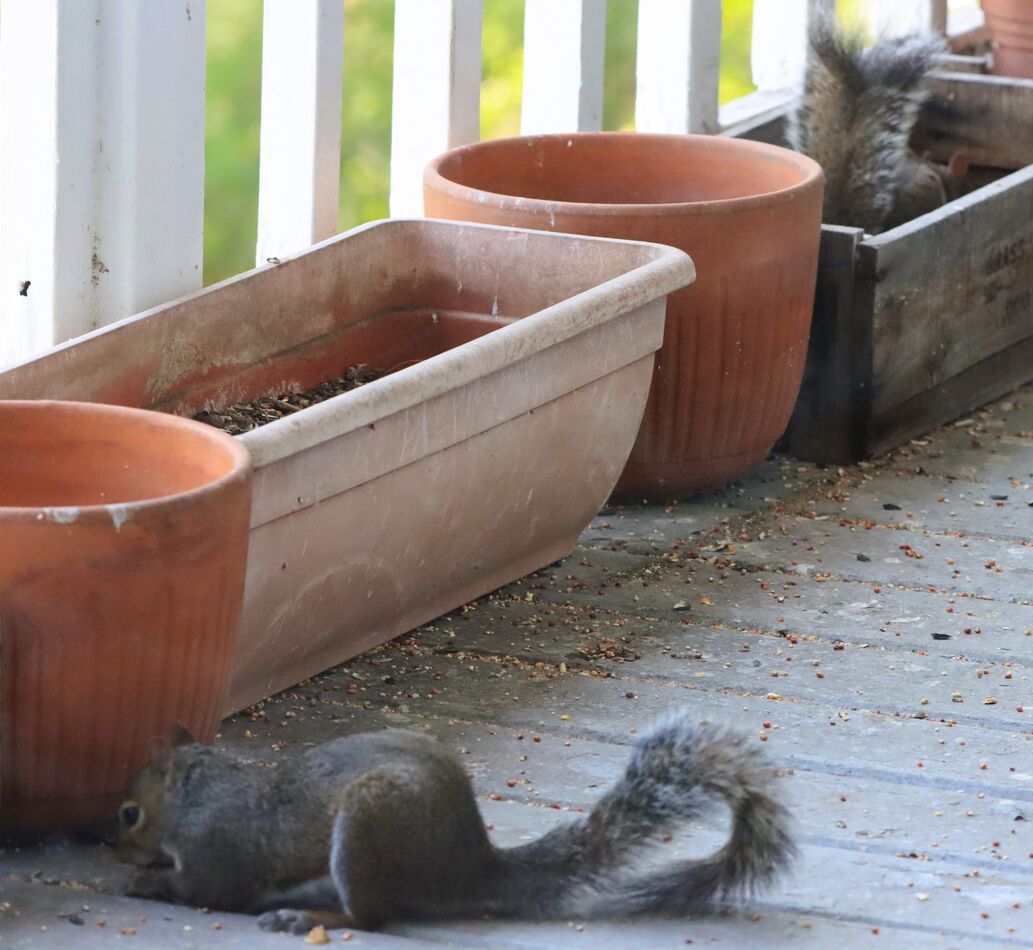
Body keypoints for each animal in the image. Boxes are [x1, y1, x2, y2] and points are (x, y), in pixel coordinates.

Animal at [116, 713, 795, 934]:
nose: (110, 846)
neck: (198, 793)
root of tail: (471, 866)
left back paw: (303, 917)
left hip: (366, 826)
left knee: (373, 917)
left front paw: (146, 882)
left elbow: (207, 891)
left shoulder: (216, 851)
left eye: (128, 813)